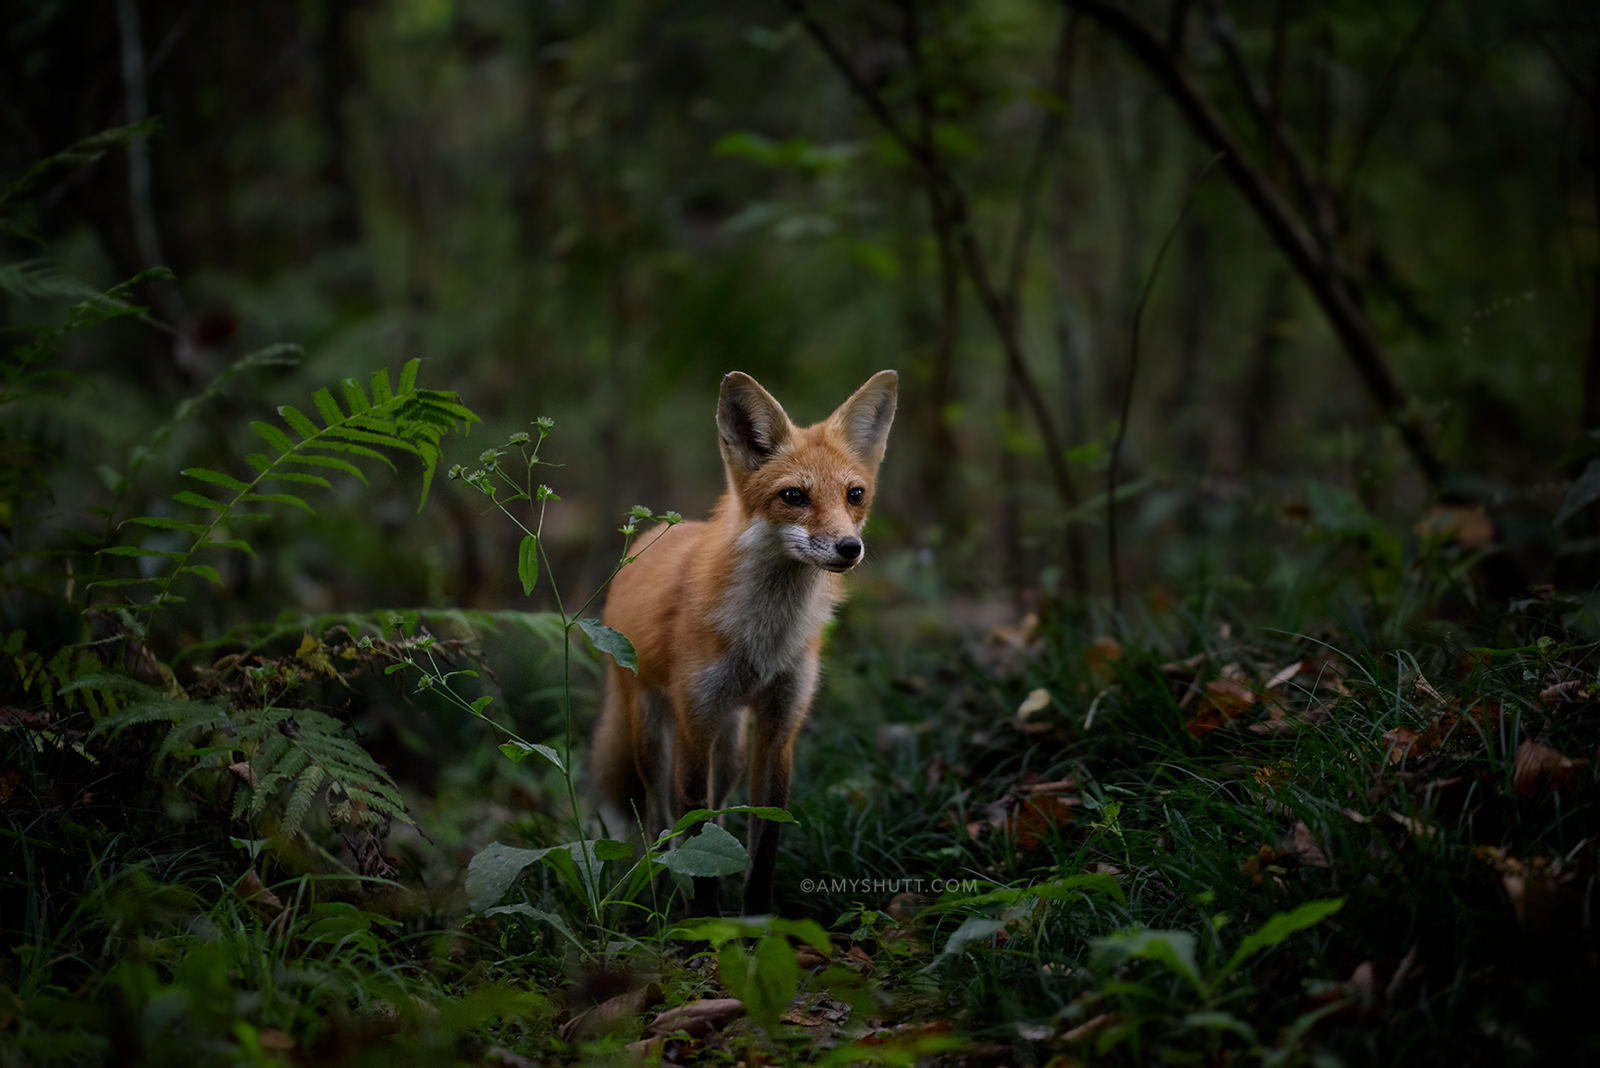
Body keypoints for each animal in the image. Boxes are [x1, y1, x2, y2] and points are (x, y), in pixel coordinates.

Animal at [590, 369, 898, 917]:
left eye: (855, 495)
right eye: (794, 496)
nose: (850, 547)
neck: (765, 639)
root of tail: (652, 535)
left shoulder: (779, 725)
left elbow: (763, 838)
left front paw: (754, 918)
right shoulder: (694, 723)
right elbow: (688, 823)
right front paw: (703, 922)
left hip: (731, 741)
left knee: (718, 810)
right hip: (653, 733)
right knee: (659, 815)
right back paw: (659, 892)